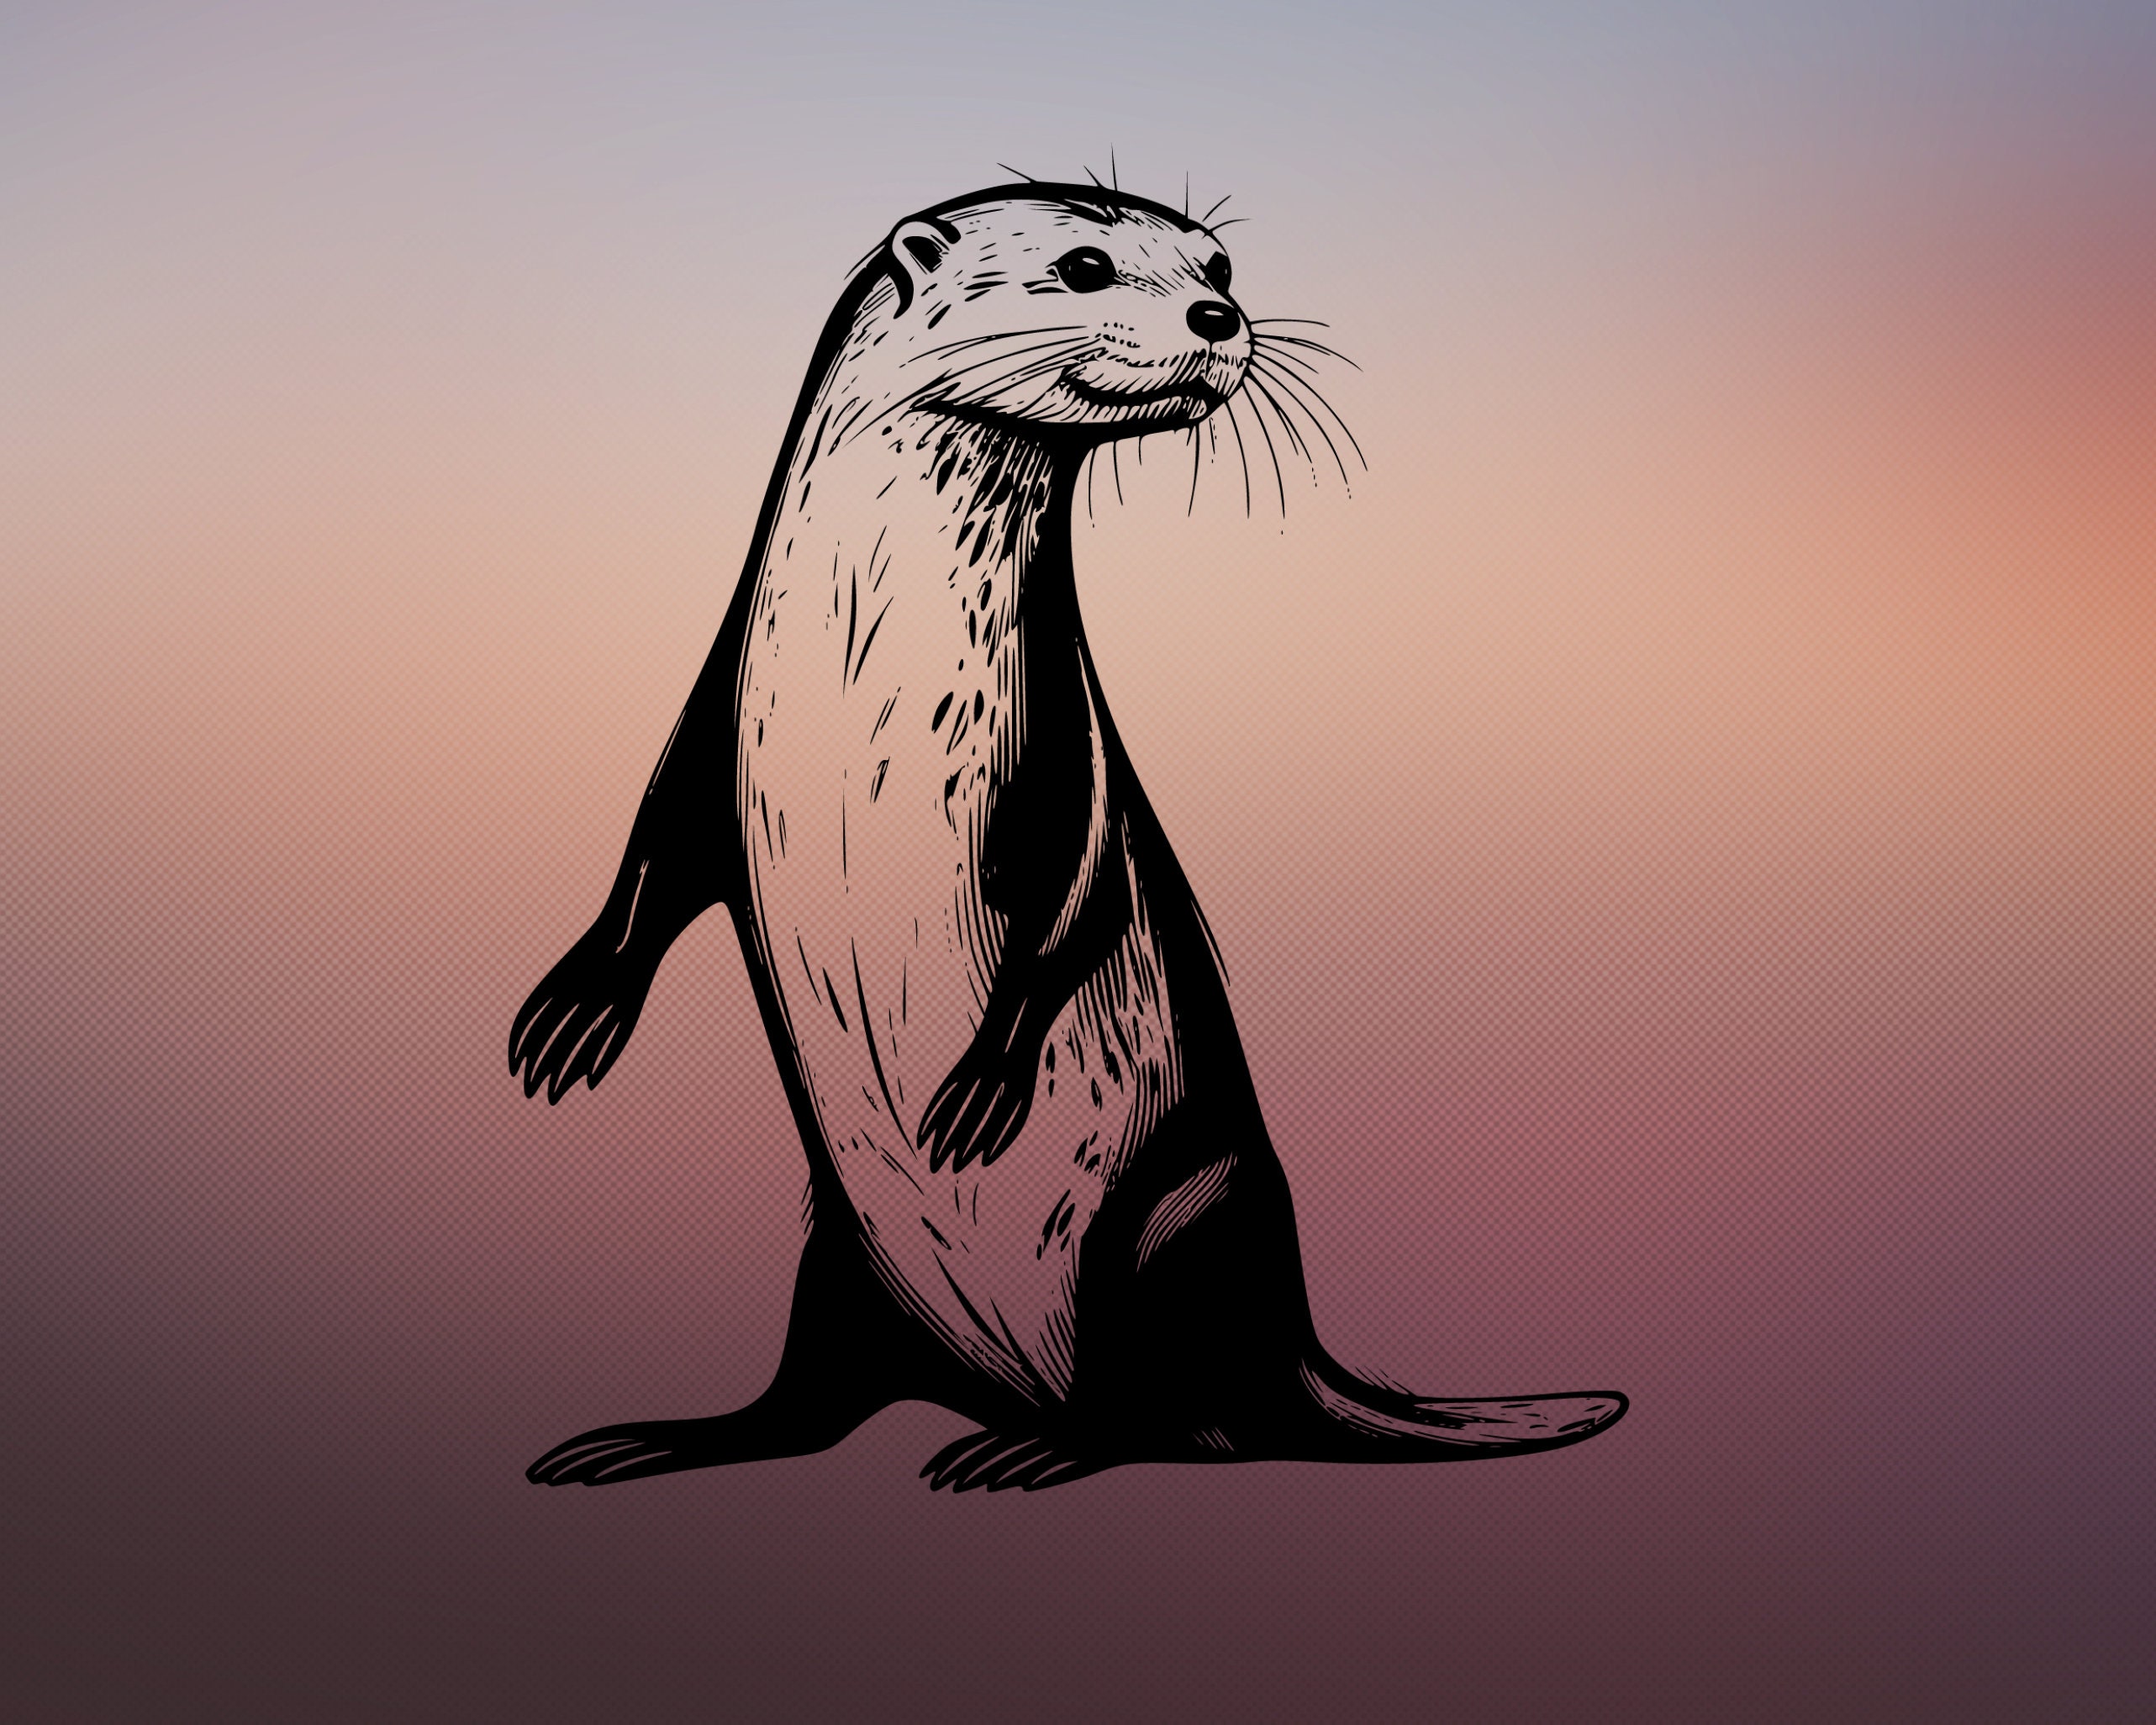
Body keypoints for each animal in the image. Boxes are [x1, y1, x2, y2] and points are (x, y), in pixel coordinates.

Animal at [509, 181, 1625, 1490]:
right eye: (1085, 264)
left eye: (1219, 264)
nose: (1217, 315)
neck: (862, 662)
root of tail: (1291, 1354)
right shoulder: (719, 704)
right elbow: (658, 844)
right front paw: (579, 1006)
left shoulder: (1067, 742)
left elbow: (1082, 889)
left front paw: (986, 1078)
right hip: (840, 1251)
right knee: (812, 1396)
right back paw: (666, 1438)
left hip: (1171, 1223)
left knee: (1164, 1417)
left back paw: (1034, 1453)